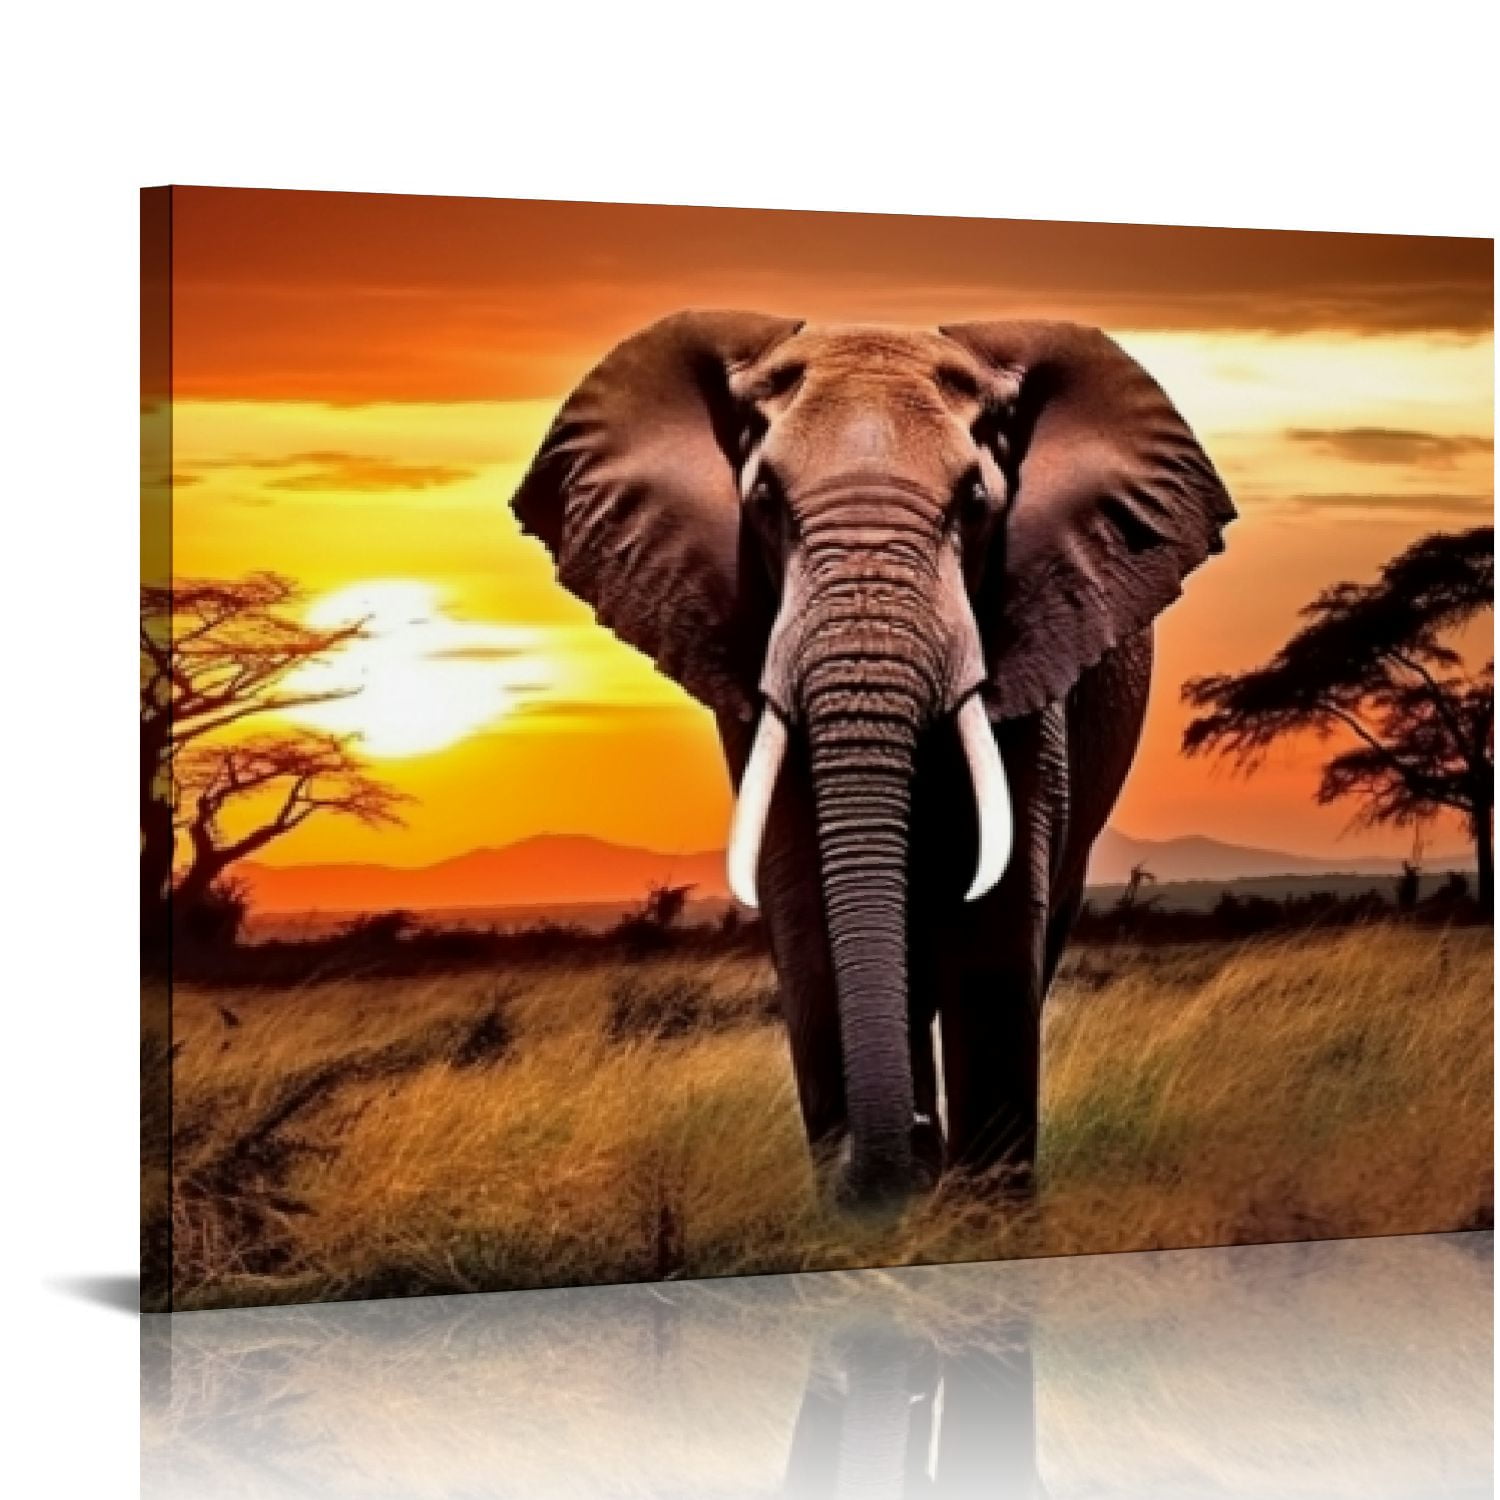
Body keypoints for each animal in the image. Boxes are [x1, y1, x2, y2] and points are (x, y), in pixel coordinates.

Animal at [513, 311, 1234, 1208]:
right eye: (762, 500)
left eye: (975, 503)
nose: (910, 1144)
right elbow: (804, 903)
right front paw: (868, 1214)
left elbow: (994, 920)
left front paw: (981, 1216)